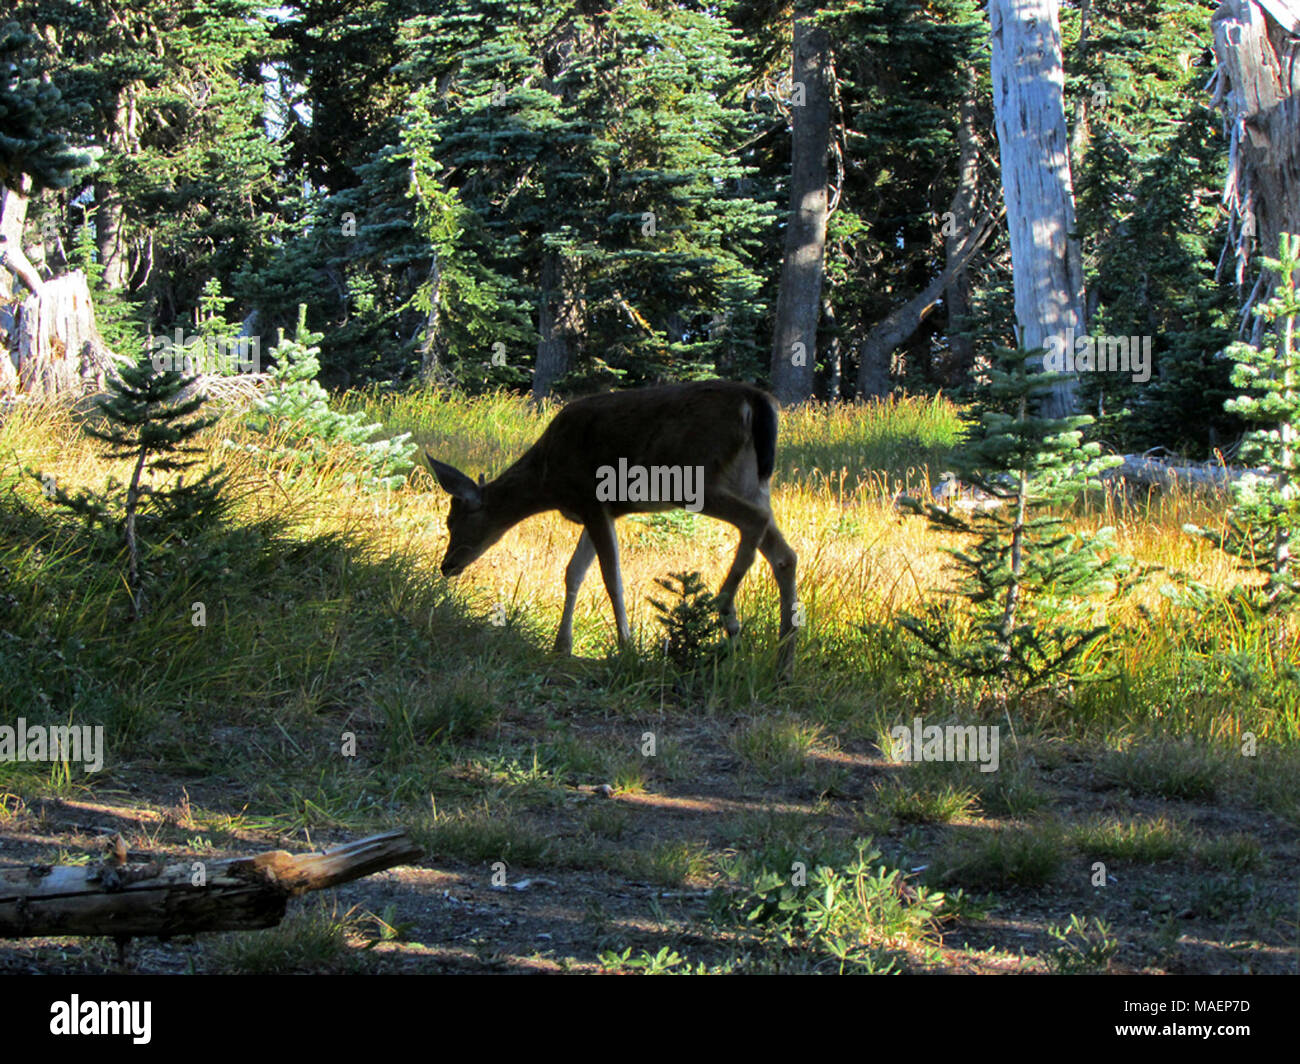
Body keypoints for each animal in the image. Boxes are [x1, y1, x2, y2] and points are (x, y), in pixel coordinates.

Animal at [425, 381, 798, 677]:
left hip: (697, 478)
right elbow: (574, 571)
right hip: (750, 481)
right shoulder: (600, 511)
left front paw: (626, 647)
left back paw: (728, 611)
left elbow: (610, 576)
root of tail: (754, 399)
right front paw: (562, 645)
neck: (547, 479)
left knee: (755, 521)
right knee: (785, 554)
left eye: (452, 521)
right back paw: (782, 662)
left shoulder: (592, 499)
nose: (447, 566)